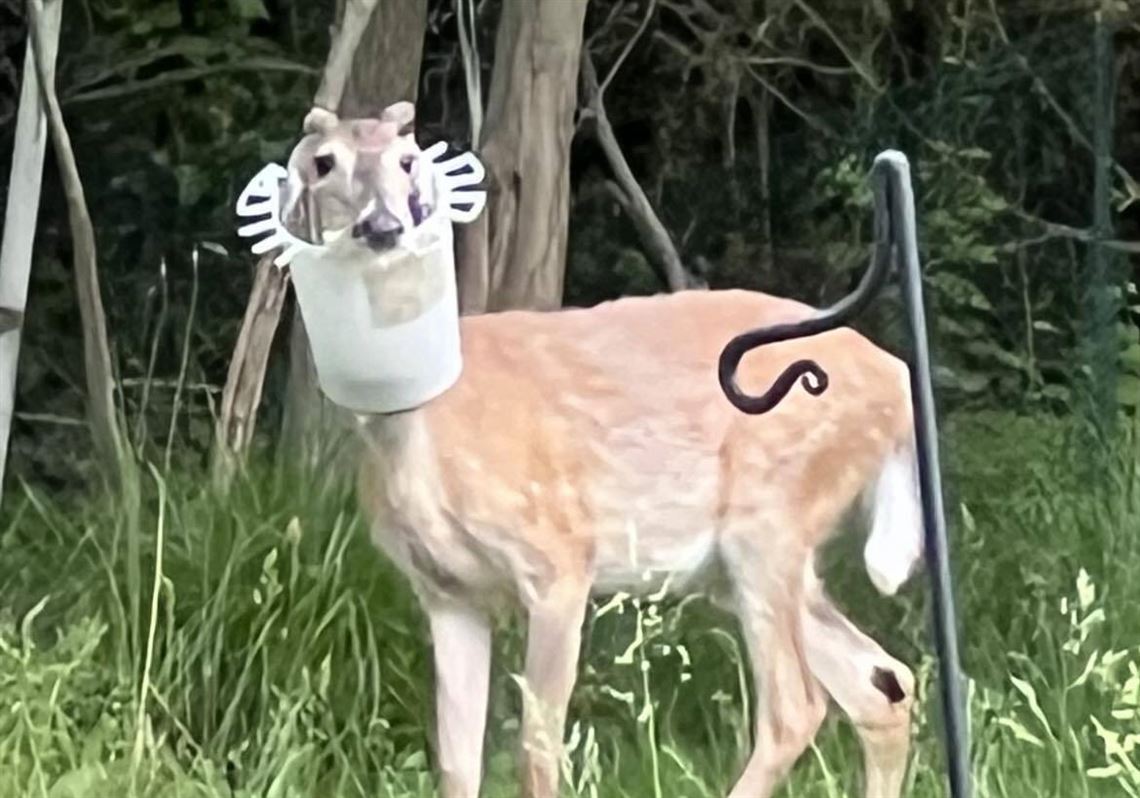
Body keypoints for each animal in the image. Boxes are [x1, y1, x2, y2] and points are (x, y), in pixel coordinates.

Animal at [282, 101, 924, 798]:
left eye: (408, 160)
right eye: (323, 162)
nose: (381, 225)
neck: (427, 440)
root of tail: (897, 381)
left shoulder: (559, 558)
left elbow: (537, 748)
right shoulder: (447, 592)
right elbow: (456, 761)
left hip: (771, 514)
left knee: (797, 704)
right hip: (740, 563)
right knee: (882, 683)